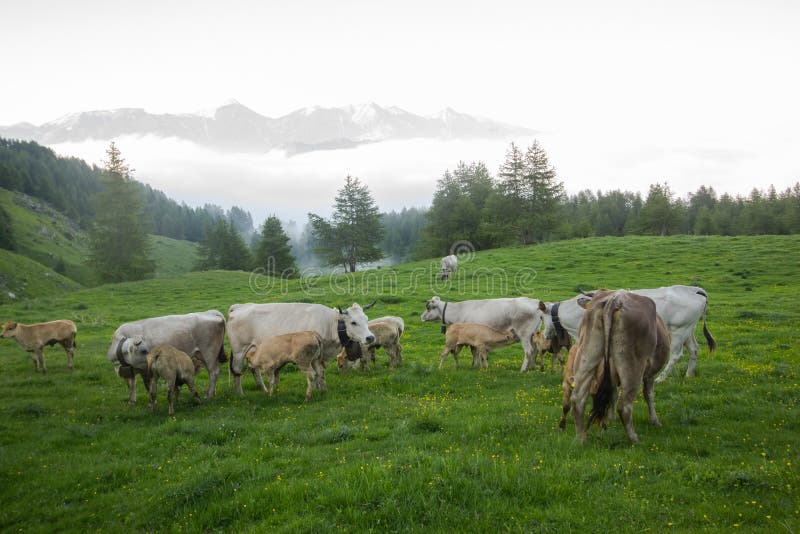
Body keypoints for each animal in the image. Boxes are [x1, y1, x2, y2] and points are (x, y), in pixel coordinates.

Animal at [227, 301, 376, 395]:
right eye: (353, 322)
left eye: (366, 319)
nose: (370, 337)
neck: (330, 323)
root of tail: (240, 306)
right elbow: (315, 373)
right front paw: (316, 389)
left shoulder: (319, 356)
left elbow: (320, 372)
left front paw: (320, 389)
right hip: (239, 351)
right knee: (237, 371)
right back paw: (240, 394)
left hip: (254, 350)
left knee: (254, 370)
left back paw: (263, 390)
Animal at [542, 285, 716, 381]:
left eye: (542, 317)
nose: (544, 335)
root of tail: (694, 290)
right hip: (688, 330)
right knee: (694, 349)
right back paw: (689, 374)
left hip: (679, 331)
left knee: (676, 355)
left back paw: (661, 378)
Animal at [570, 290, 669, 444]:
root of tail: (615, 299)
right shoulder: (649, 375)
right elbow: (649, 395)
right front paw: (655, 421)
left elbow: (613, 394)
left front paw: (610, 419)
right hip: (633, 365)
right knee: (625, 406)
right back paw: (634, 439)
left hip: (587, 355)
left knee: (578, 399)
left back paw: (580, 439)